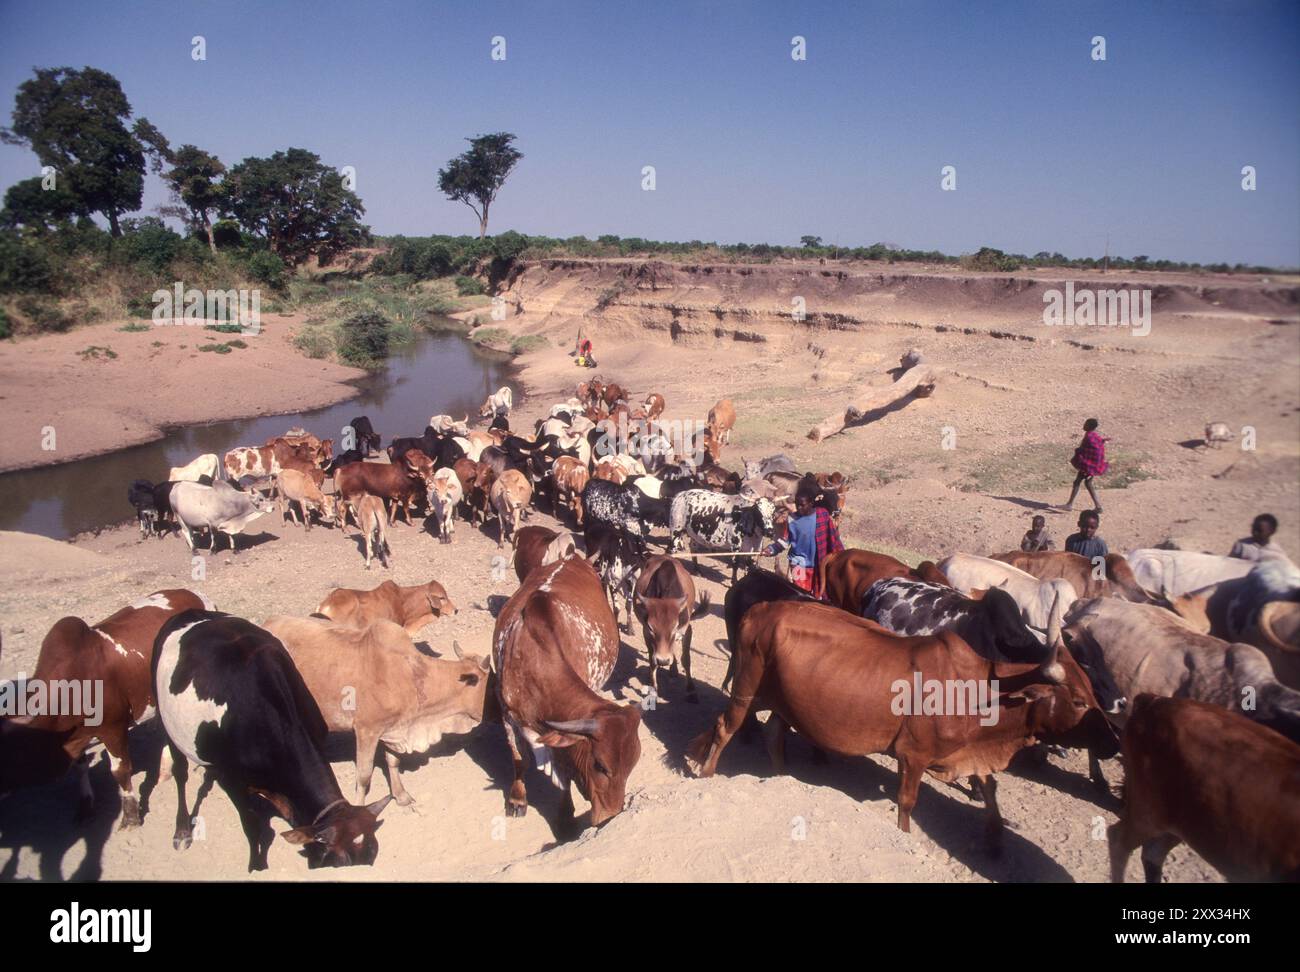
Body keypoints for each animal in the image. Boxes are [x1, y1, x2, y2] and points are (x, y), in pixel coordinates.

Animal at [0, 590, 211, 826]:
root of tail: (196, 595)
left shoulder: (113, 729)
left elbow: (120, 770)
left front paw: (130, 815)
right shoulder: (78, 733)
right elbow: (81, 766)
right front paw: (86, 804)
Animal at [153, 611, 391, 871]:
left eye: (371, 855)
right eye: (338, 862)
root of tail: (187, 614)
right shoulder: (232, 779)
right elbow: (253, 826)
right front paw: (256, 866)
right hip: (165, 719)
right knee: (180, 772)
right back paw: (182, 831)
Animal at [493, 554, 642, 838]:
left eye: (632, 765)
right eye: (600, 766)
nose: (610, 817)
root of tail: (573, 558)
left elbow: (564, 774)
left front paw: (566, 817)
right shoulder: (507, 715)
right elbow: (519, 760)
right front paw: (518, 799)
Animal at [633, 555, 709, 701]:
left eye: (674, 627)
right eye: (651, 628)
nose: (663, 660)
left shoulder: (686, 630)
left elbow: (686, 659)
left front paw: (691, 691)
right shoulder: (645, 632)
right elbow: (652, 661)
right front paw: (653, 689)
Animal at [686, 599, 1101, 851]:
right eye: (1080, 701)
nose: (1110, 737)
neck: (981, 688)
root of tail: (760, 608)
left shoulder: (967, 751)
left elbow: (989, 785)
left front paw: (996, 834)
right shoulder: (913, 755)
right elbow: (907, 802)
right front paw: (903, 835)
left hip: (780, 701)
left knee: (773, 736)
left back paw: (782, 777)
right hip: (747, 690)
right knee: (725, 727)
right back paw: (706, 772)